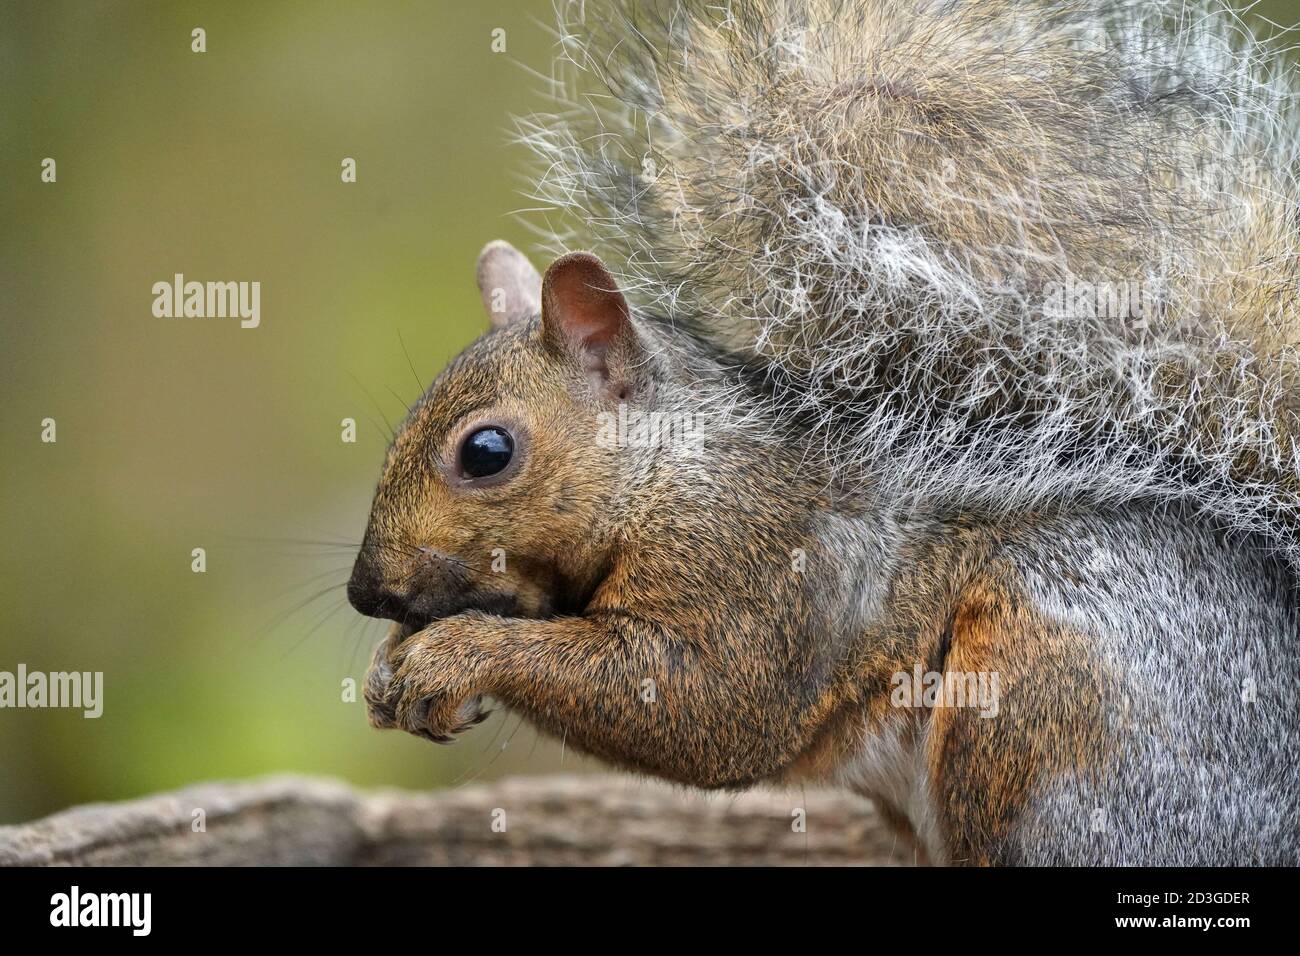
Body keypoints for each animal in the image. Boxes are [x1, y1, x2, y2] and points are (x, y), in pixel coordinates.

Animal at [348, 0, 1299, 864]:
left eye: (487, 452)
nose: (366, 593)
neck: (673, 469)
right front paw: (394, 670)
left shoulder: (760, 561)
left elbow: (699, 705)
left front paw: (454, 655)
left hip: (1046, 719)